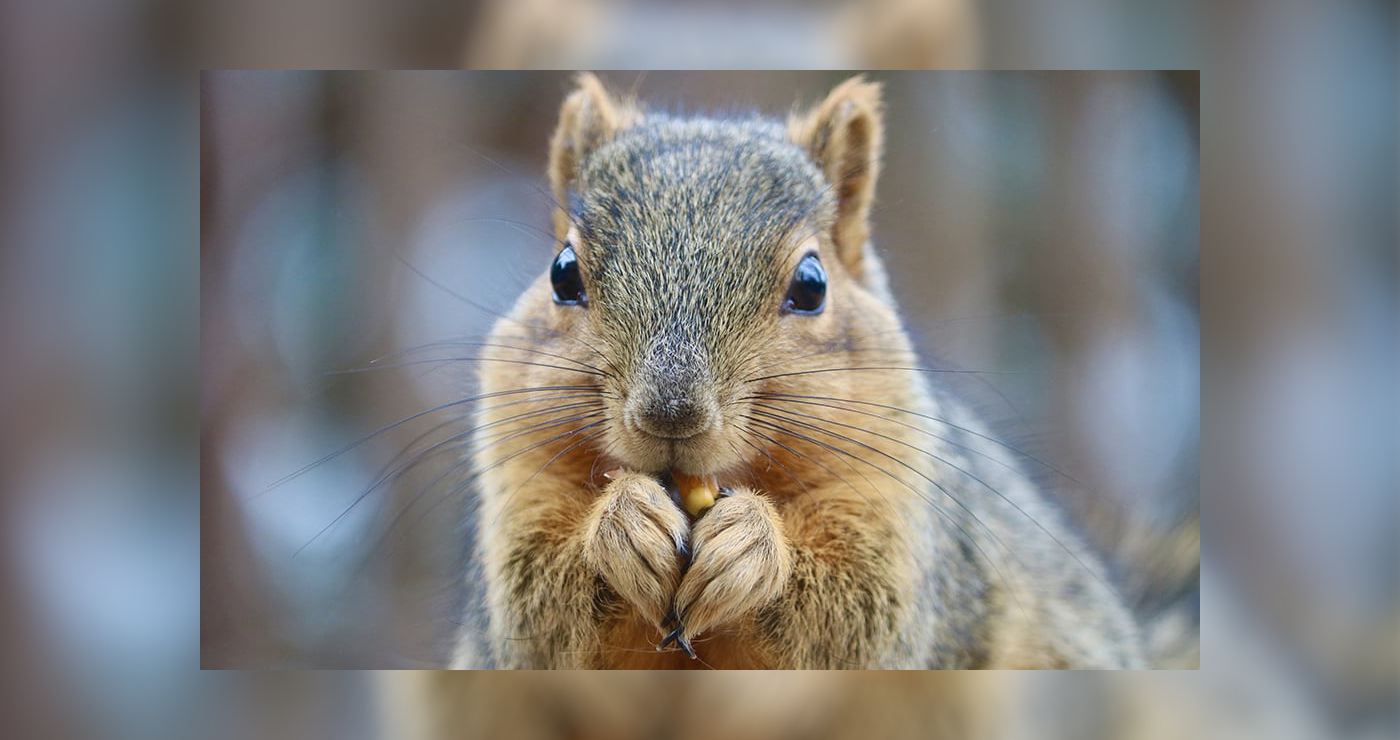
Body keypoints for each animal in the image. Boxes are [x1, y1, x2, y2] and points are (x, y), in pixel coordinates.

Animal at [449, 74, 1145, 669]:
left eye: (812, 286)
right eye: (562, 273)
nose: (670, 414)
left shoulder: (900, 505)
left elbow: (859, 617)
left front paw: (751, 547)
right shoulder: (518, 477)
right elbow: (536, 613)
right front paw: (625, 524)